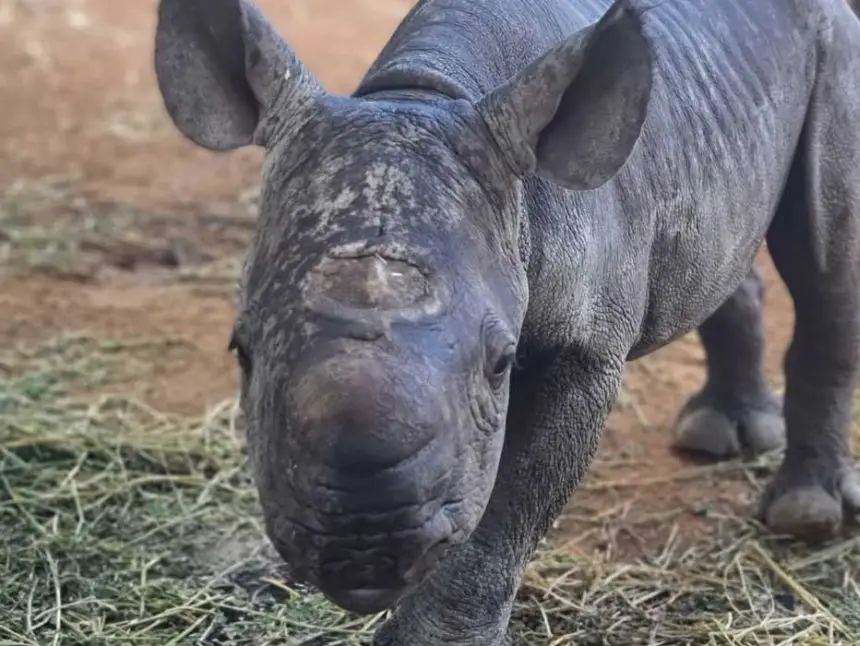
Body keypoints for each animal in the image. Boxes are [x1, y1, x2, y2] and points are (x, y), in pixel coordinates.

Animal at [153, 0, 860, 642]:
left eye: (500, 365)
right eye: (240, 350)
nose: (363, 552)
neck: (429, 94)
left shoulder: (583, 350)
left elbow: (508, 508)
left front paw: (434, 640)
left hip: (835, 49)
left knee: (823, 261)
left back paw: (806, 515)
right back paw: (719, 435)